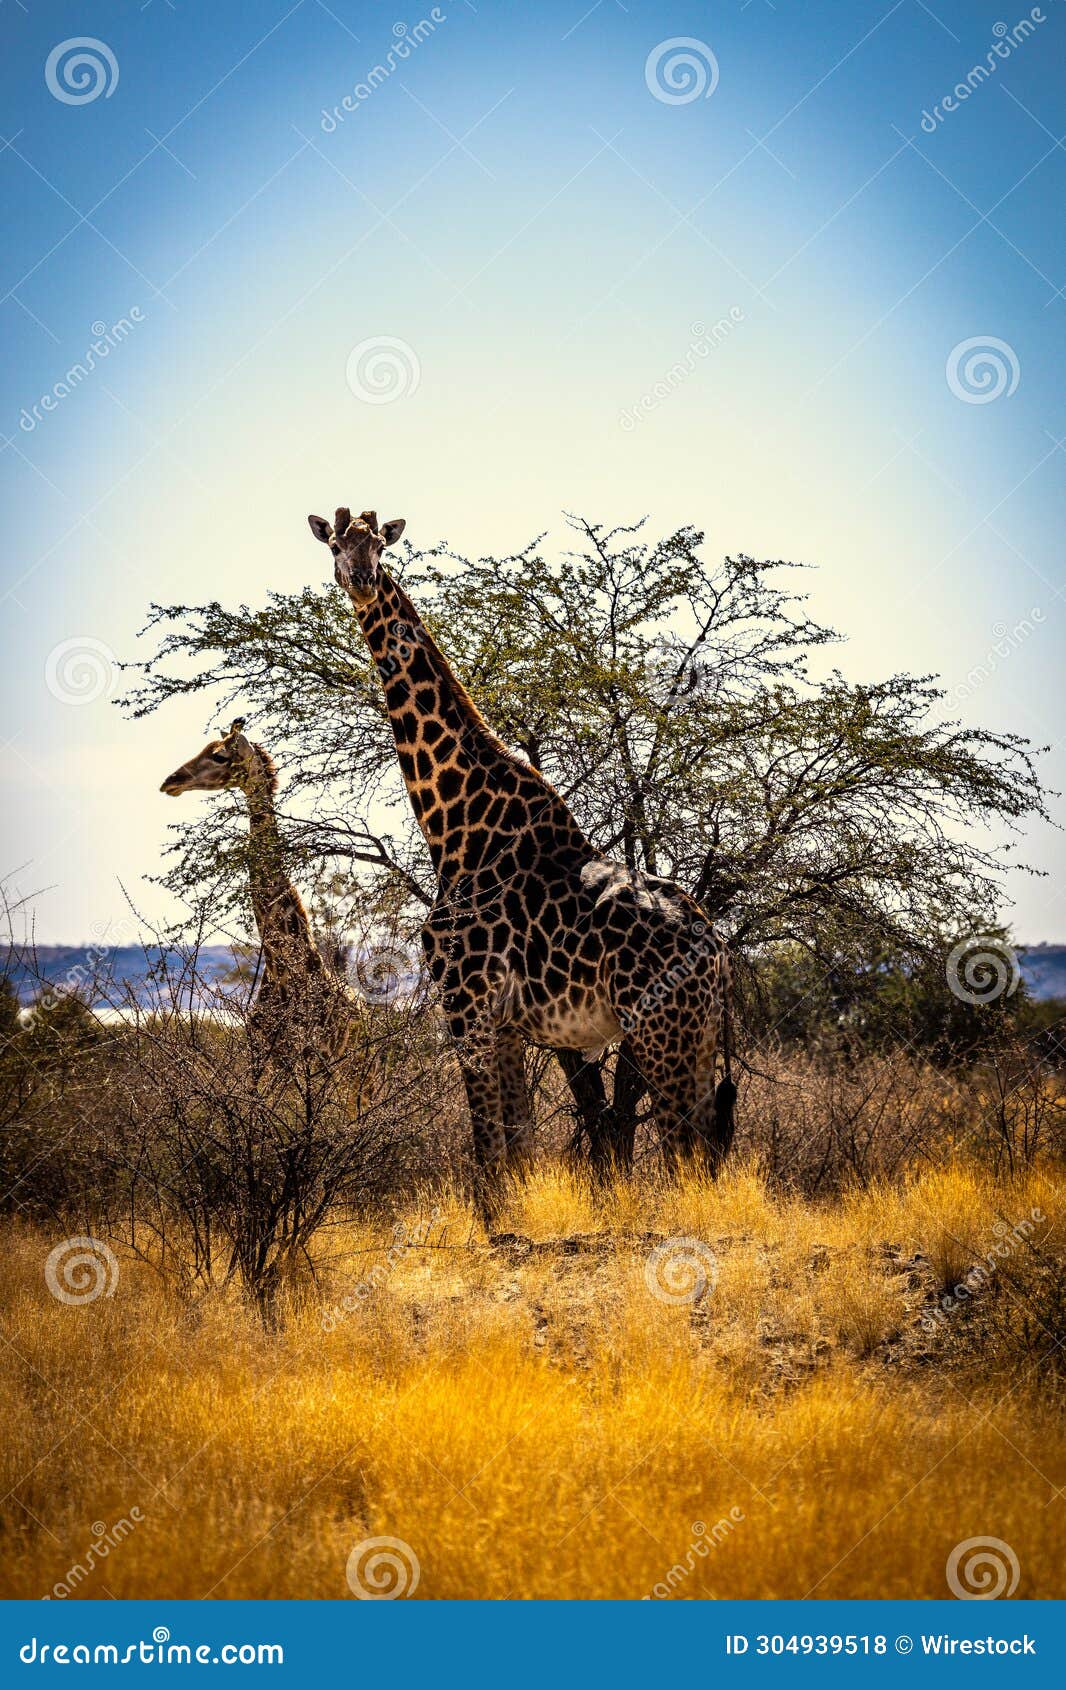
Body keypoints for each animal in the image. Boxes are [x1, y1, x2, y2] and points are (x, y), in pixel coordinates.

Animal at [307, 508, 736, 1220]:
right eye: (337, 546)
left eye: (379, 547)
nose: (362, 578)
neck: (456, 825)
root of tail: (716, 946)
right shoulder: (506, 1023)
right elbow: (516, 1141)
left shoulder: (467, 1004)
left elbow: (488, 1146)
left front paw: (496, 1230)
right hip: (695, 1038)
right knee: (707, 1142)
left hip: (660, 1033)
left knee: (685, 1146)